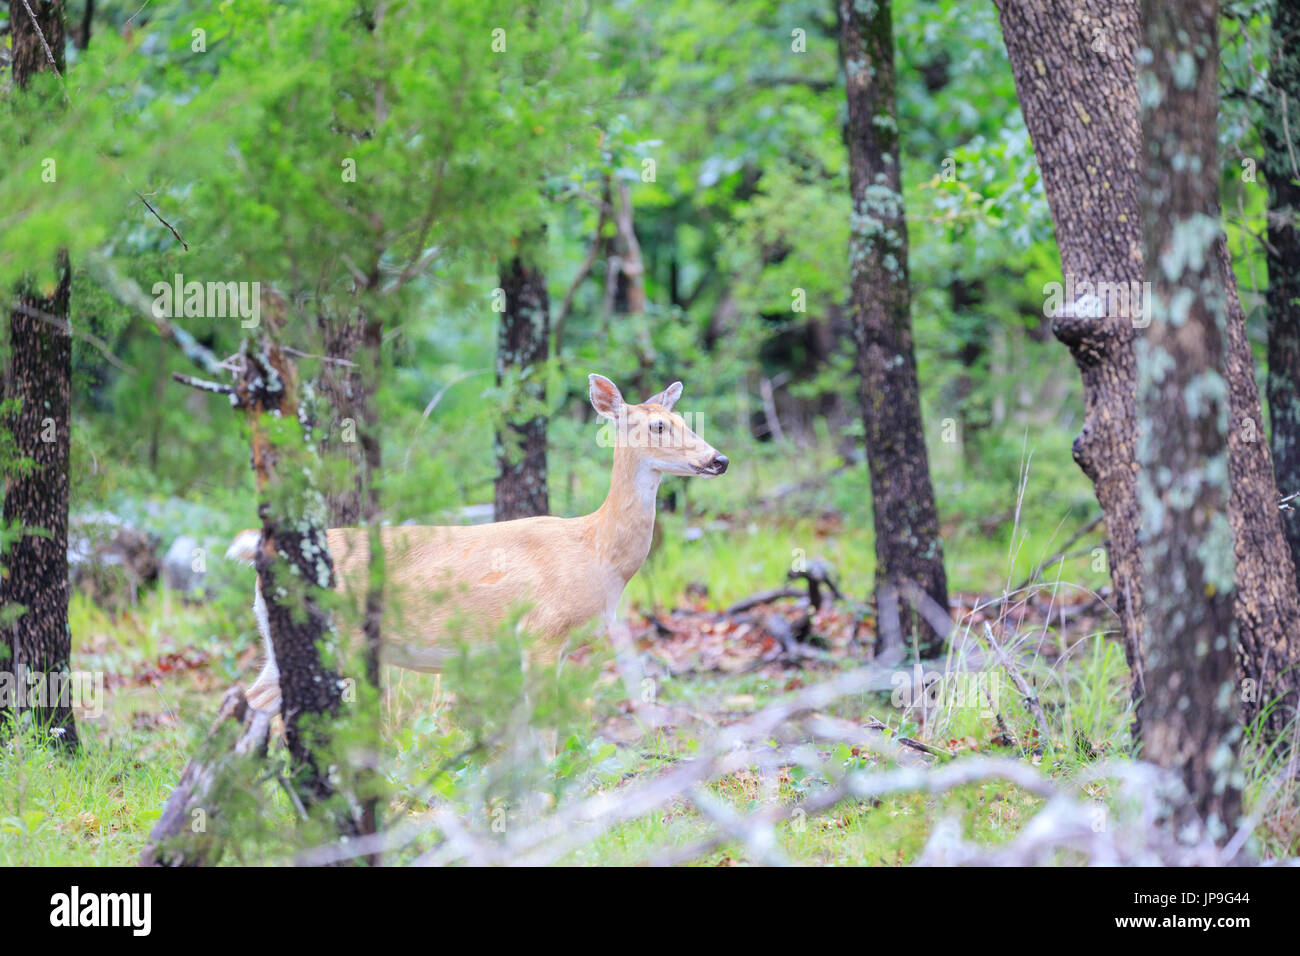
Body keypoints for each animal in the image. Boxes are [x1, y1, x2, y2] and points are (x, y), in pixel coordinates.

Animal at [228, 373, 729, 714]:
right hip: (338, 637)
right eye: (659, 426)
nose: (718, 459)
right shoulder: (541, 633)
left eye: (684, 419)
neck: (594, 552)